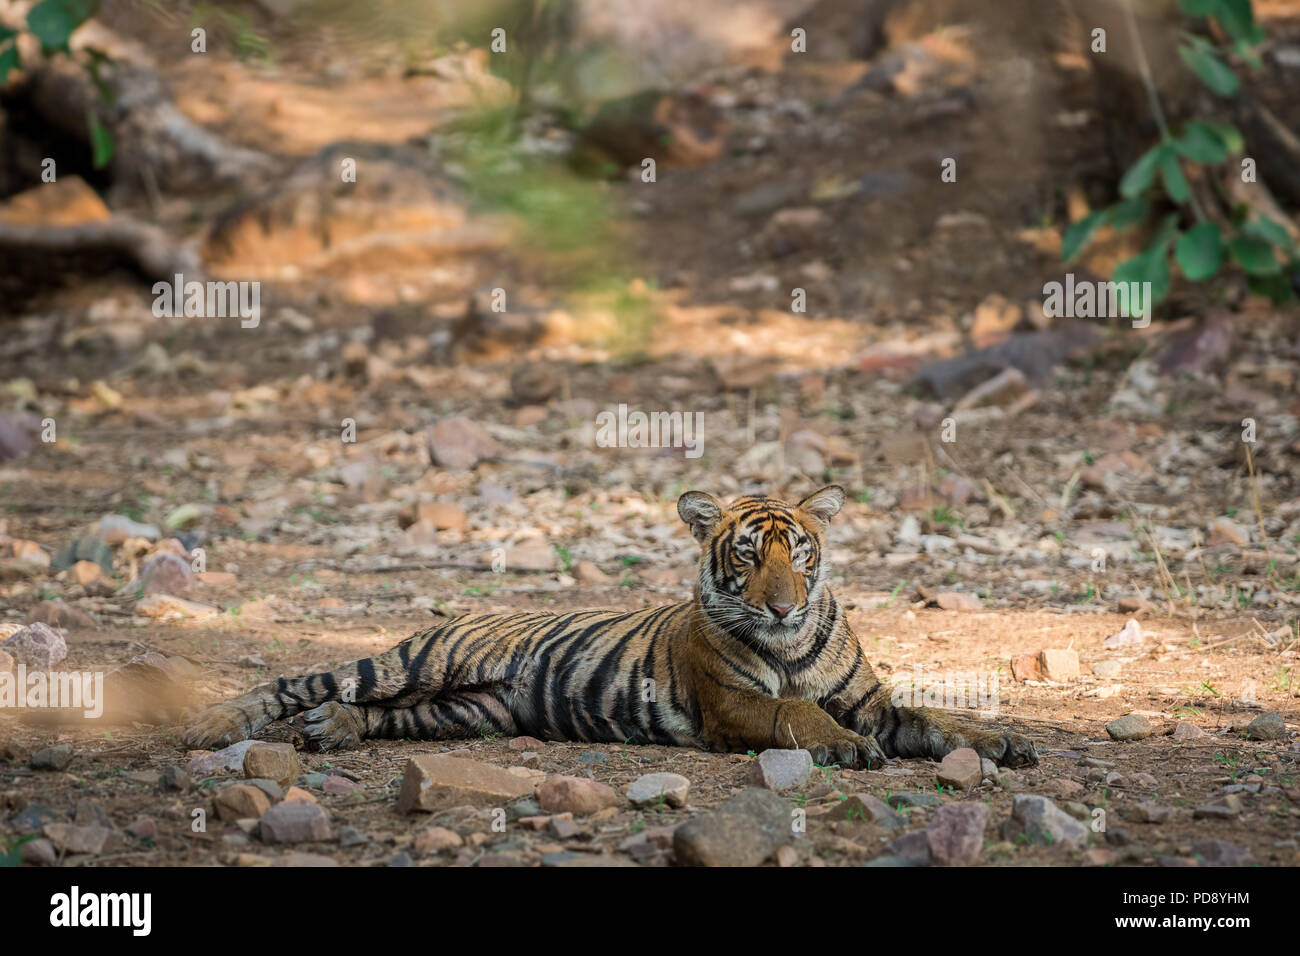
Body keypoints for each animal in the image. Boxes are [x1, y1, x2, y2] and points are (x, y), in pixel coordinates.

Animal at [181, 485, 1038, 770]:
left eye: (798, 552)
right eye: (749, 555)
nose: (784, 607)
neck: (792, 641)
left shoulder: (873, 702)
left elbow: (938, 717)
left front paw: (1004, 740)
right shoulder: (732, 704)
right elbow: (795, 712)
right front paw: (846, 748)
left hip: (465, 710)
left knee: (373, 713)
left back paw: (333, 730)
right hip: (414, 662)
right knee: (301, 679)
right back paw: (213, 725)